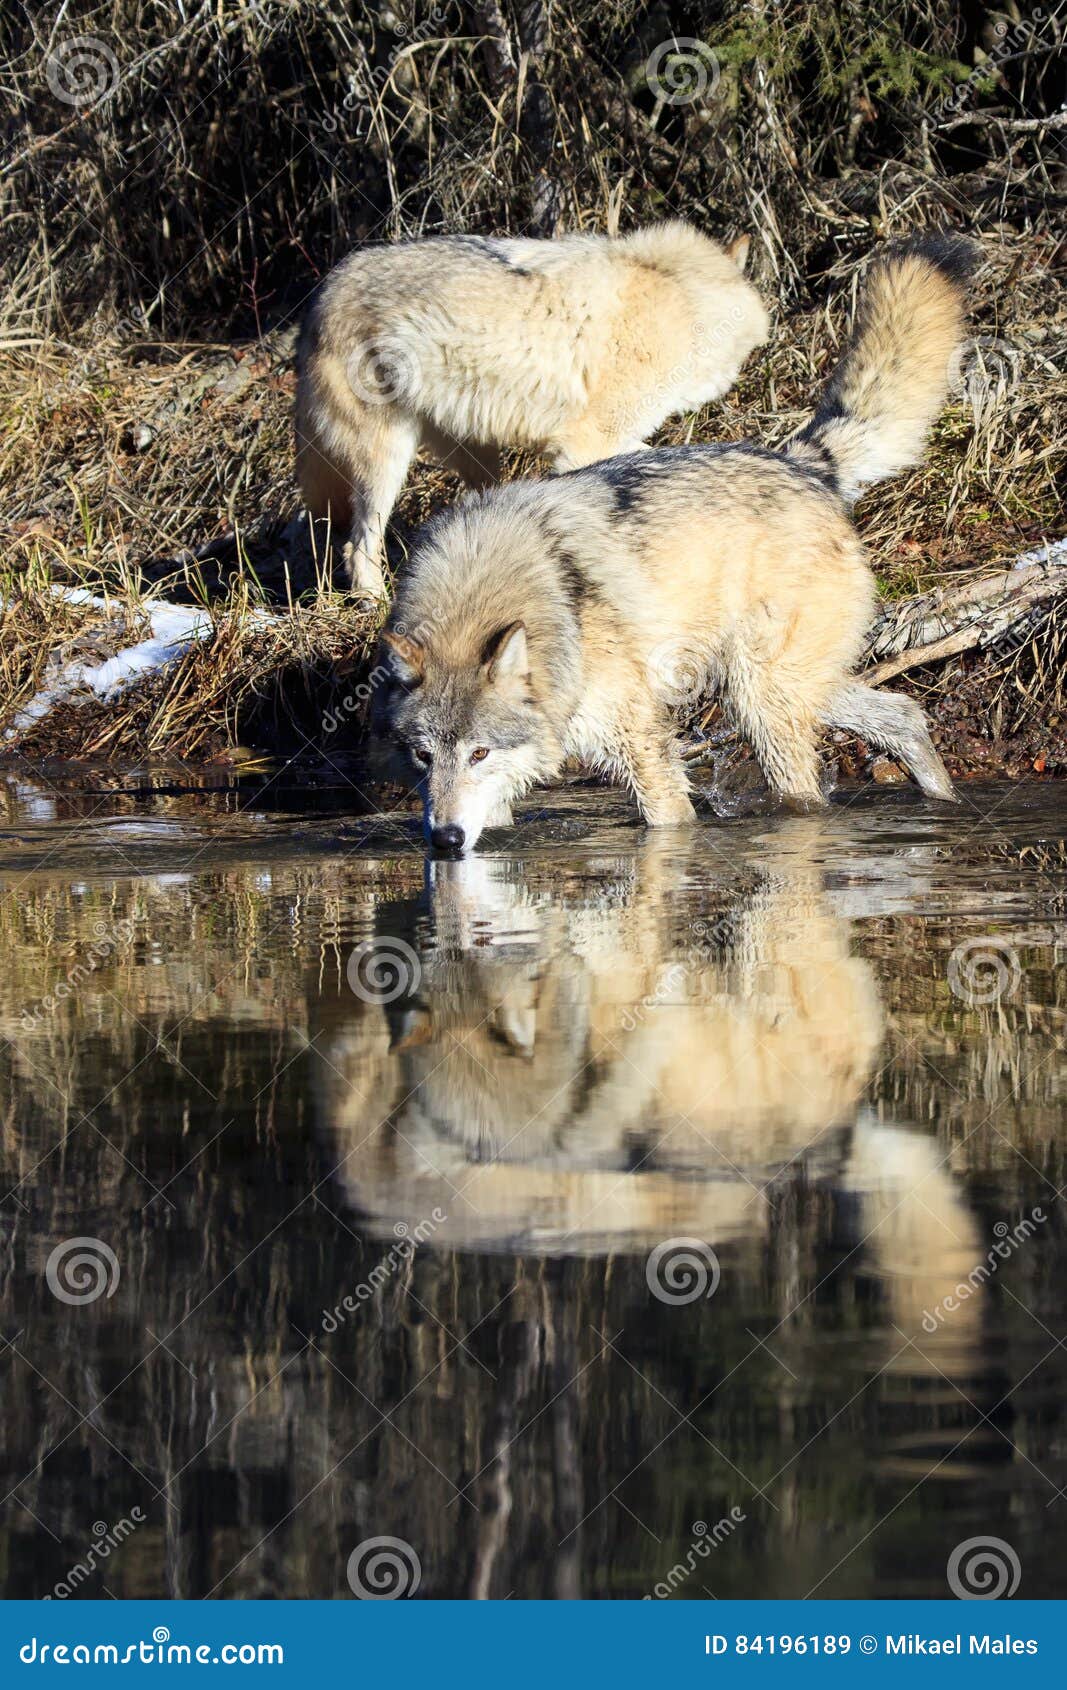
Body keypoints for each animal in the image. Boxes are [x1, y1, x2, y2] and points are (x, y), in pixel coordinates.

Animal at [295, 223, 766, 596]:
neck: (688, 303)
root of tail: (319, 299)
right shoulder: (584, 445)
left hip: (477, 457)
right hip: (386, 463)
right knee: (356, 548)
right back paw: (375, 606)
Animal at [376, 234, 974, 854]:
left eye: (479, 752)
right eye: (423, 757)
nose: (445, 839)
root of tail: (804, 463)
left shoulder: (640, 744)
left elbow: (667, 822)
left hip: (762, 703)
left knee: (812, 794)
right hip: (782, 686)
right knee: (904, 712)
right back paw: (942, 803)